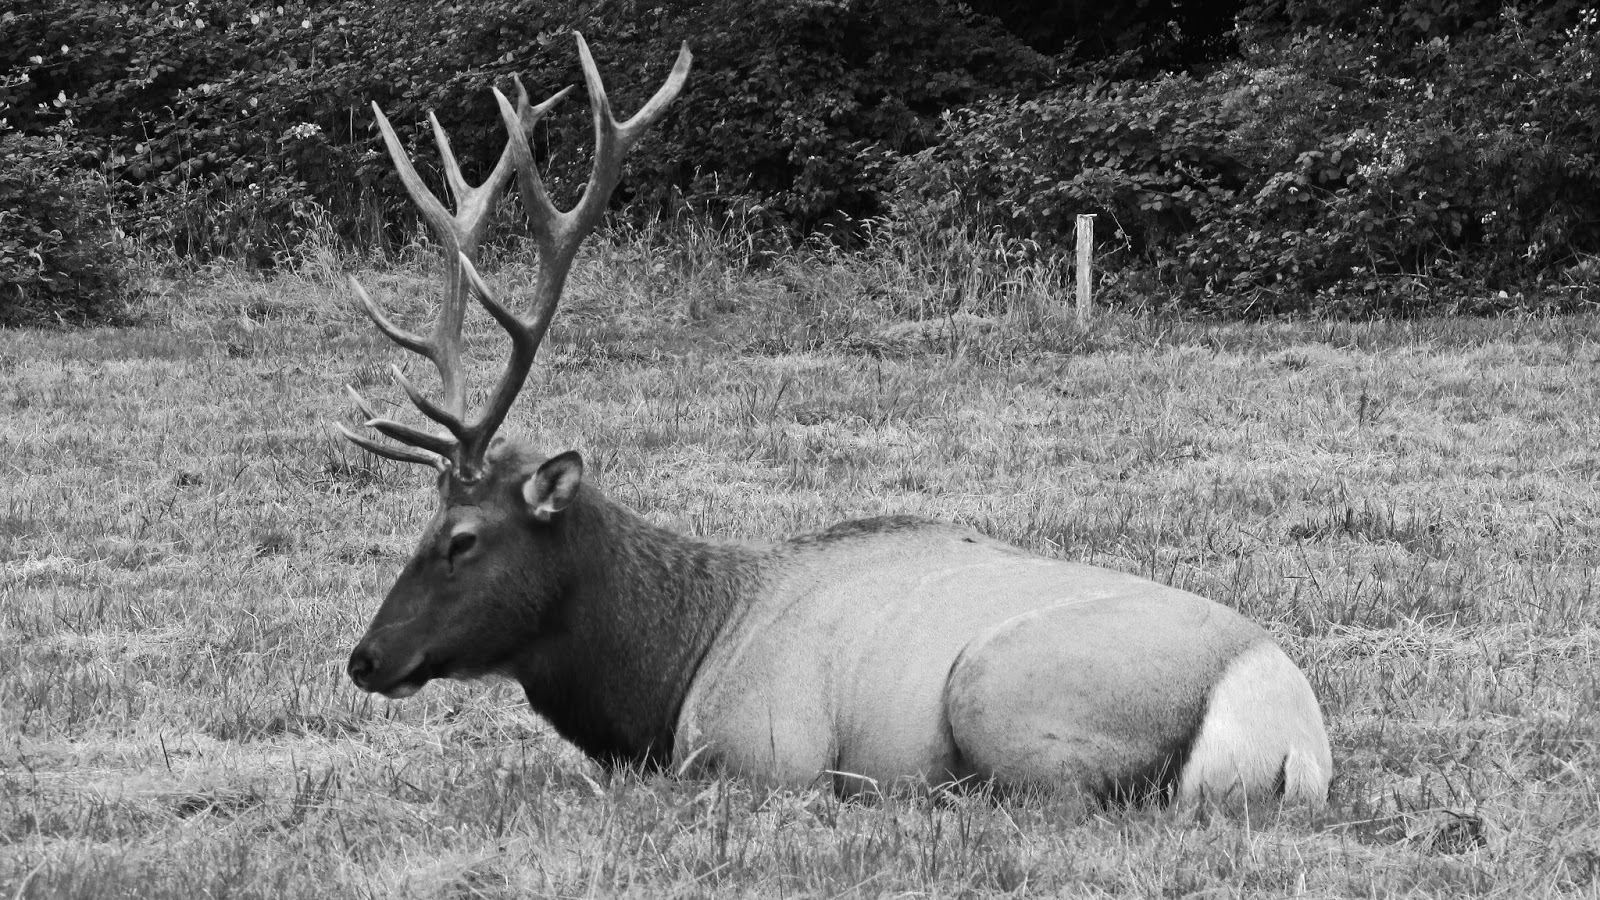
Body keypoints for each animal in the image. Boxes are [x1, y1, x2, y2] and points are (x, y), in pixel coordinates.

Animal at [338, 34, 1333, 810]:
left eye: (462, 539)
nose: (365, 658)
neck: (664, 676)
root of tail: (1284, 733)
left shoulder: (761, 751)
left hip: (996, 686)